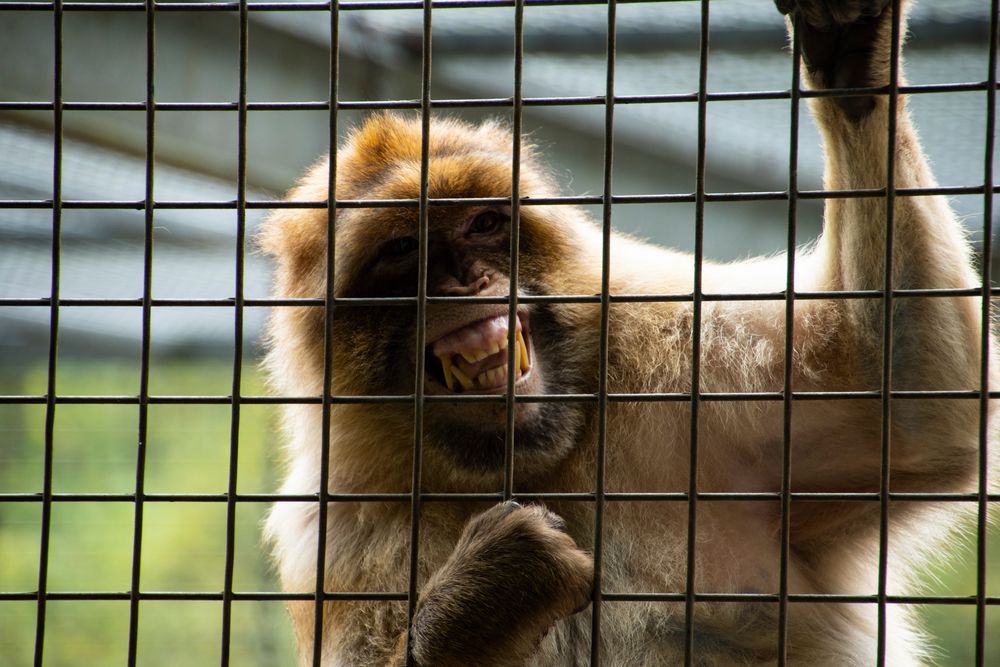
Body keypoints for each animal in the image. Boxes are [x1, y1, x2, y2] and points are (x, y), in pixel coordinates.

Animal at [259, 1, 997, 665]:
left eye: (482, 224)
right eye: (402, 251)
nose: (462, 281)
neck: (536, 463)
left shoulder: (686, 361)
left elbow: (907, 407)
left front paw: (854, 58)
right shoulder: (336, 530)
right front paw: (482, 604)